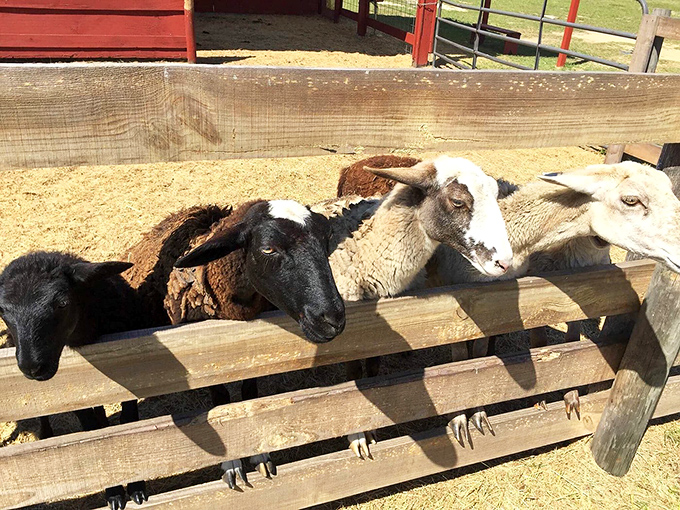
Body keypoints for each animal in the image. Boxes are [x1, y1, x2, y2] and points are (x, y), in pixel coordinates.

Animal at [0, 251, 146, 510]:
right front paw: (114, 492)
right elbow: (91, 429)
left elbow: (128, 420)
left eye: (62, 303)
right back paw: (46, 434)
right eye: (2, 312)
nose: (32, 367)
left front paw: (136, 488)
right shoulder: (74, 392)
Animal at [121, 199, 346, 489]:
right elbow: (221, 402)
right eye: (268, 248)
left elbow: (249, 393)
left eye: (326, 239)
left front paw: (260, 455)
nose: (332, 319)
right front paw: (232, 465)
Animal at [309, 155, 514, 459]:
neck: (364, 251)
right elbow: (355, 378)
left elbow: (373, 372)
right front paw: (358, 437)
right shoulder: (346, 336)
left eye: (496, 195)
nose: (504, 262)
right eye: (457, 201)